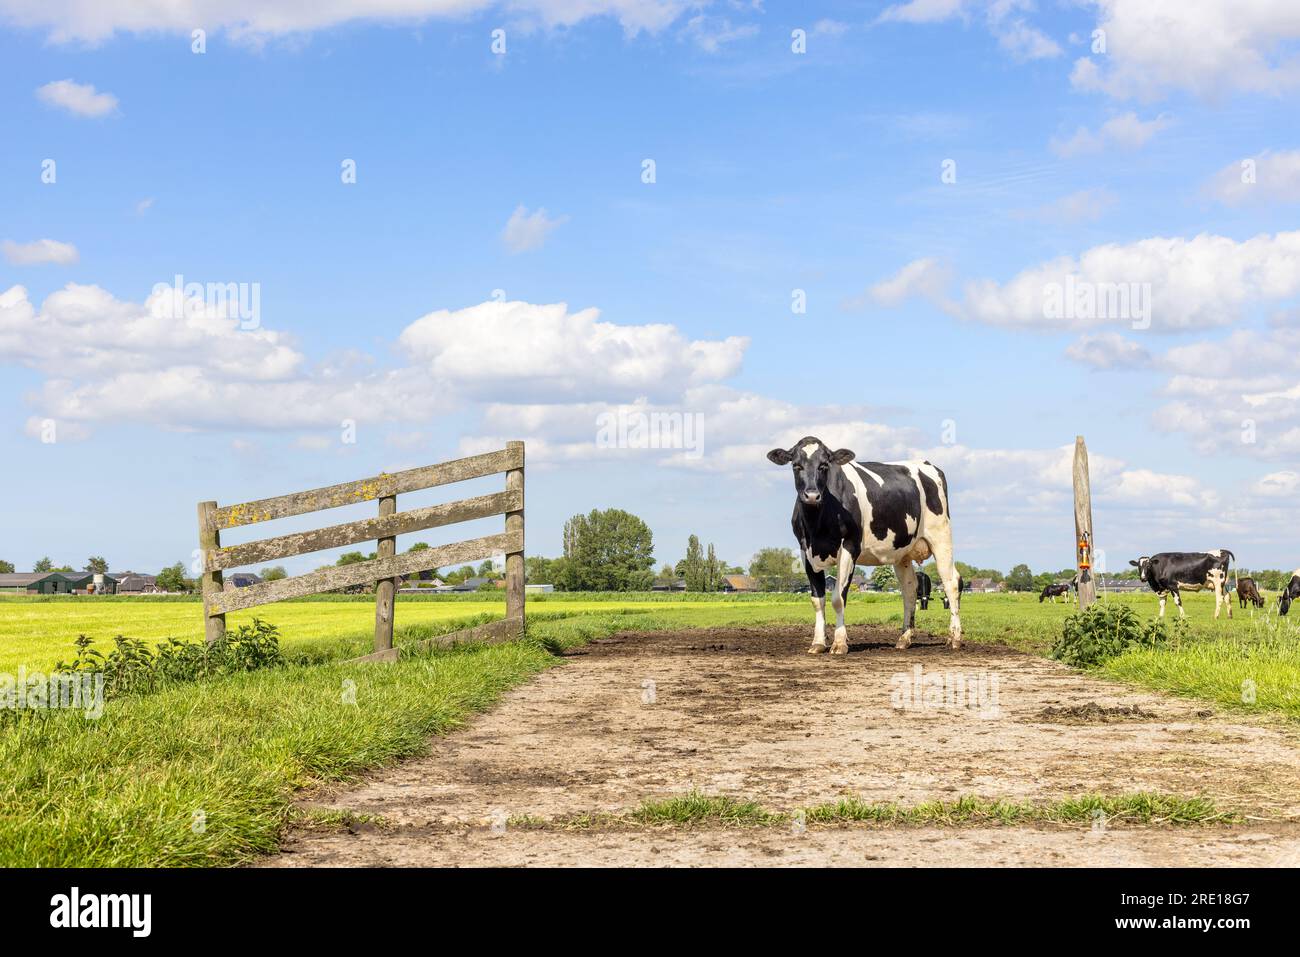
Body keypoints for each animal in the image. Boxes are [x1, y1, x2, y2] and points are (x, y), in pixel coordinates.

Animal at [768, 437, 962, 654]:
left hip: (941, 536)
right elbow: (817, 600)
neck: (818, 524)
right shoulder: (806, 551)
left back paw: (954, 638)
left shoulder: (849, 546)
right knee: (910, 589)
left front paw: (839, 643)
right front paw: (818, 642)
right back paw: (904, 638)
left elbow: (838, 598)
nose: (811, 495)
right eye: (796, 465)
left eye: (824, 465)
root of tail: (928, 465)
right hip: (902, 552)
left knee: (951, 582)